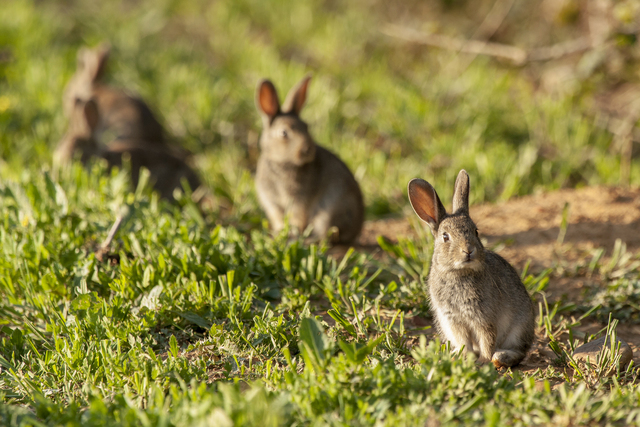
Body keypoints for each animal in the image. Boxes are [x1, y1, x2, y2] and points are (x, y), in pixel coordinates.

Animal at [255, 75, 364, 244]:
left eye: (306, 127)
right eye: (284, 133)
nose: (308, 149)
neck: (281, 164)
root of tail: (355, 231)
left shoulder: (299, 201)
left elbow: (297, 218)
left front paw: (293, 234)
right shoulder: (272, 203)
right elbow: (279, 219)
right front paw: (280, 235)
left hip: (327, 212)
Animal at [407, 169, 534, 368]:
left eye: (476, 231)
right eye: (445, 237)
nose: (468, 250)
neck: (457, 273)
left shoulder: (484, 318)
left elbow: (487, 339)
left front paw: (484, 361)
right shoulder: (454, 321)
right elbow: (465, 342)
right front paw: (464, 357)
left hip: (519, 327)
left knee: (519, 351)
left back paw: (500, 358)